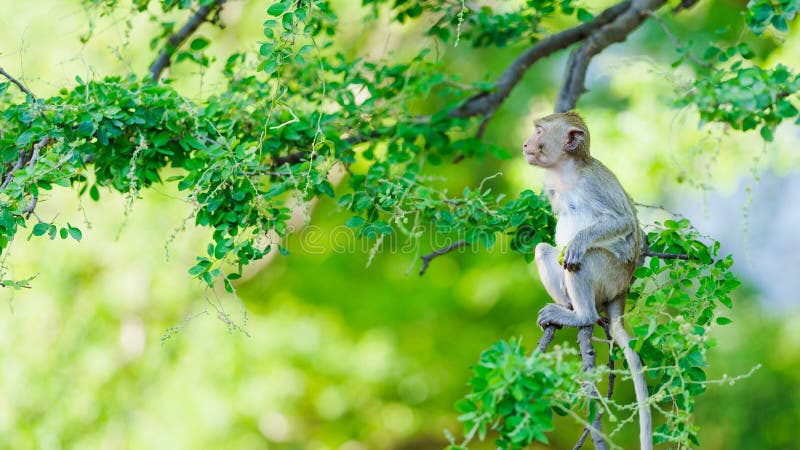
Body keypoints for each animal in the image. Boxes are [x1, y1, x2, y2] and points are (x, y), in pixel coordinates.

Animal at [522, 111, 651, 450]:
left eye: (539, 131)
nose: (526, 143)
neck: (567, 173)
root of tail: (622, 291)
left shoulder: (592, 183)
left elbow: (622, 221)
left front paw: (578, 242)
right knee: (544, 250)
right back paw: (566, 308)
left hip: (612, 275)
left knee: (583, 261)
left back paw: (582, 315)